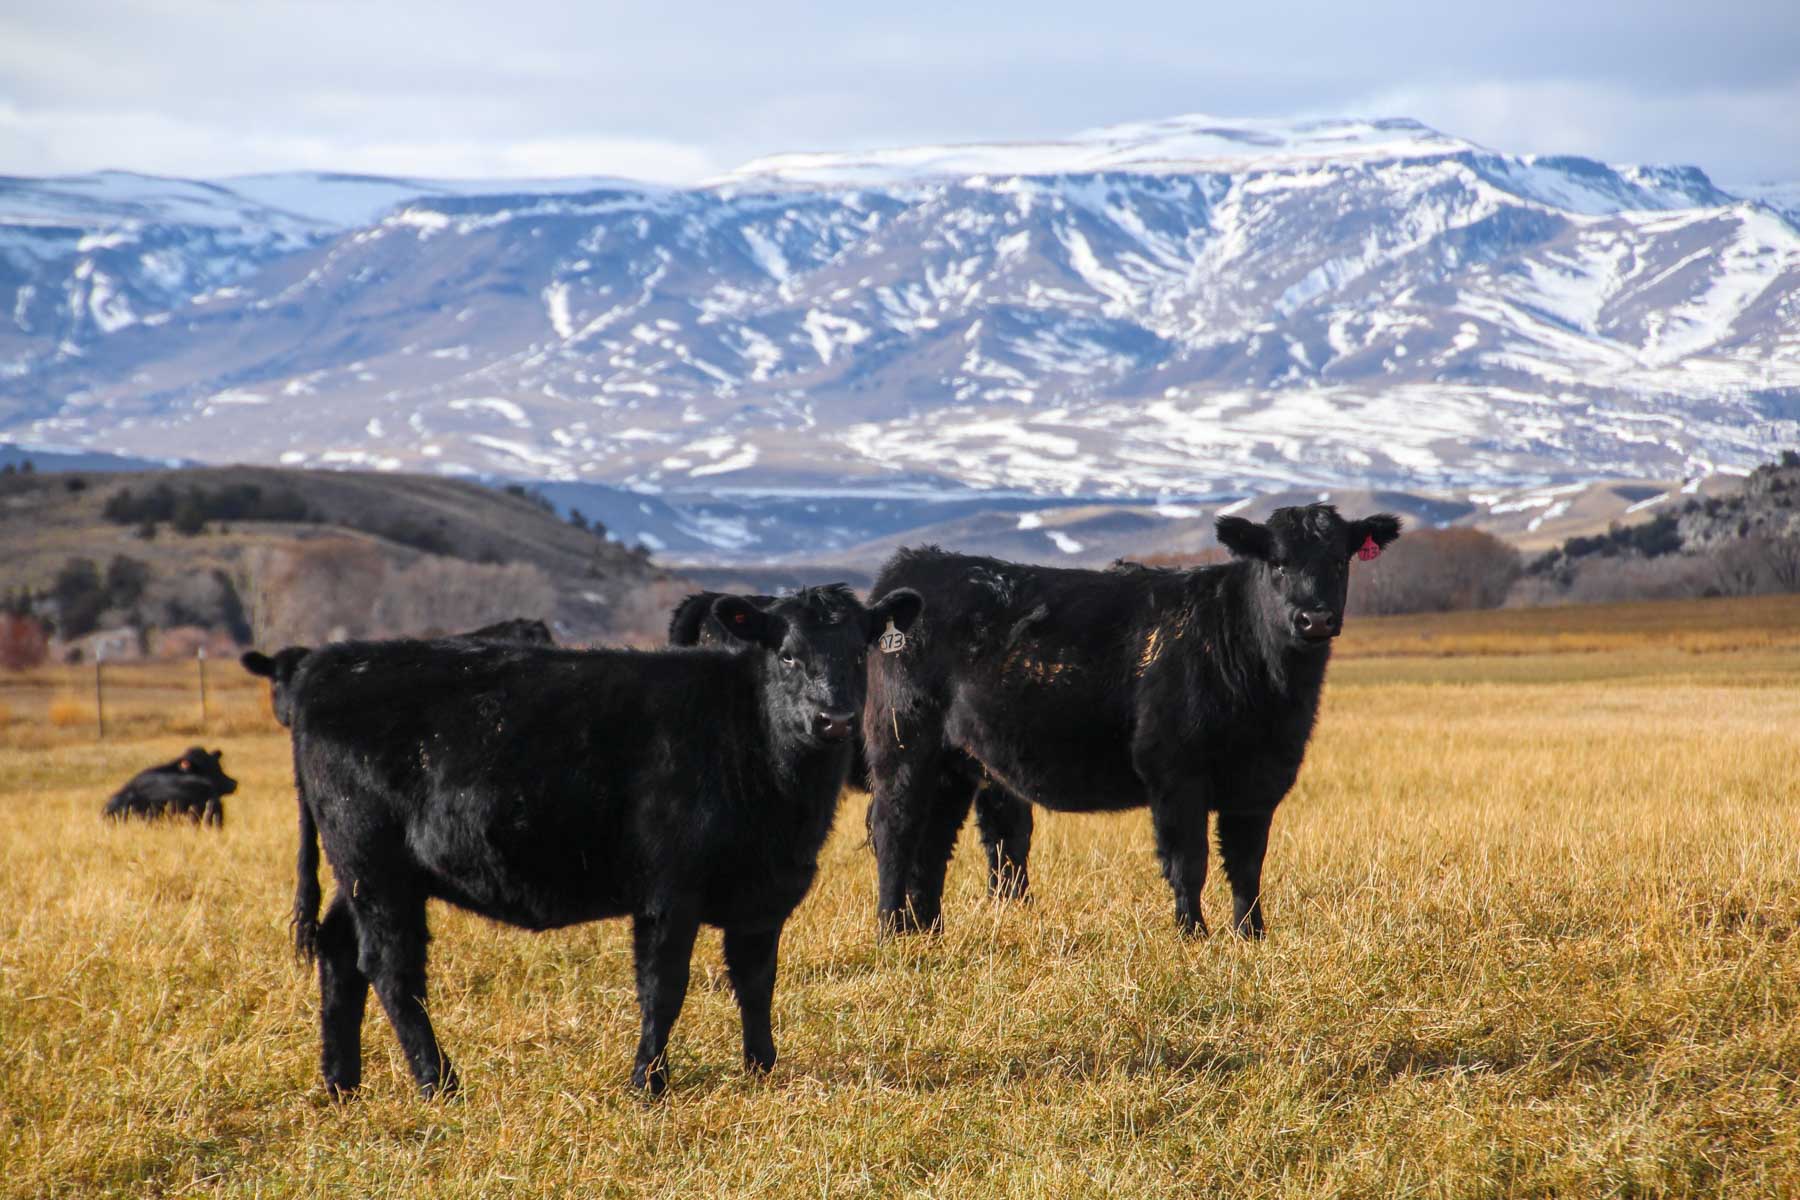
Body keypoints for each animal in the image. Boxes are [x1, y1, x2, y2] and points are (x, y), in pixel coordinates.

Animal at [280, 584, 923, 1098]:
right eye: (787, 655)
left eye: (858, 654)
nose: (835, 719)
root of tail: (332, 662)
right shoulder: (669, 892)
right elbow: (664, 986)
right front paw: (648, 1083)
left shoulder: (763, 894)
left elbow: (756, 980)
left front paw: (762, 1069)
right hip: (375, 868)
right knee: (392, 970)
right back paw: (439, 1083)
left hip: (363, 876)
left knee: (339, 951)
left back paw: (341, 1082)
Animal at [864, 503, 1400, 939]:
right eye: (1278, 562)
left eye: (1339, 561)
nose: (1315, 619)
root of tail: (914, 564)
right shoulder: (1173, 770)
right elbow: (1189, 860)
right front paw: (1192, 934)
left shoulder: (1260, 779)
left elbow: (1248, 864)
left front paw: (1252, 935)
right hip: (903, 748)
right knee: (895, 831)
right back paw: (891, 930)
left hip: (954, 764)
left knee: (932, 843)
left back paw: (928, 929)